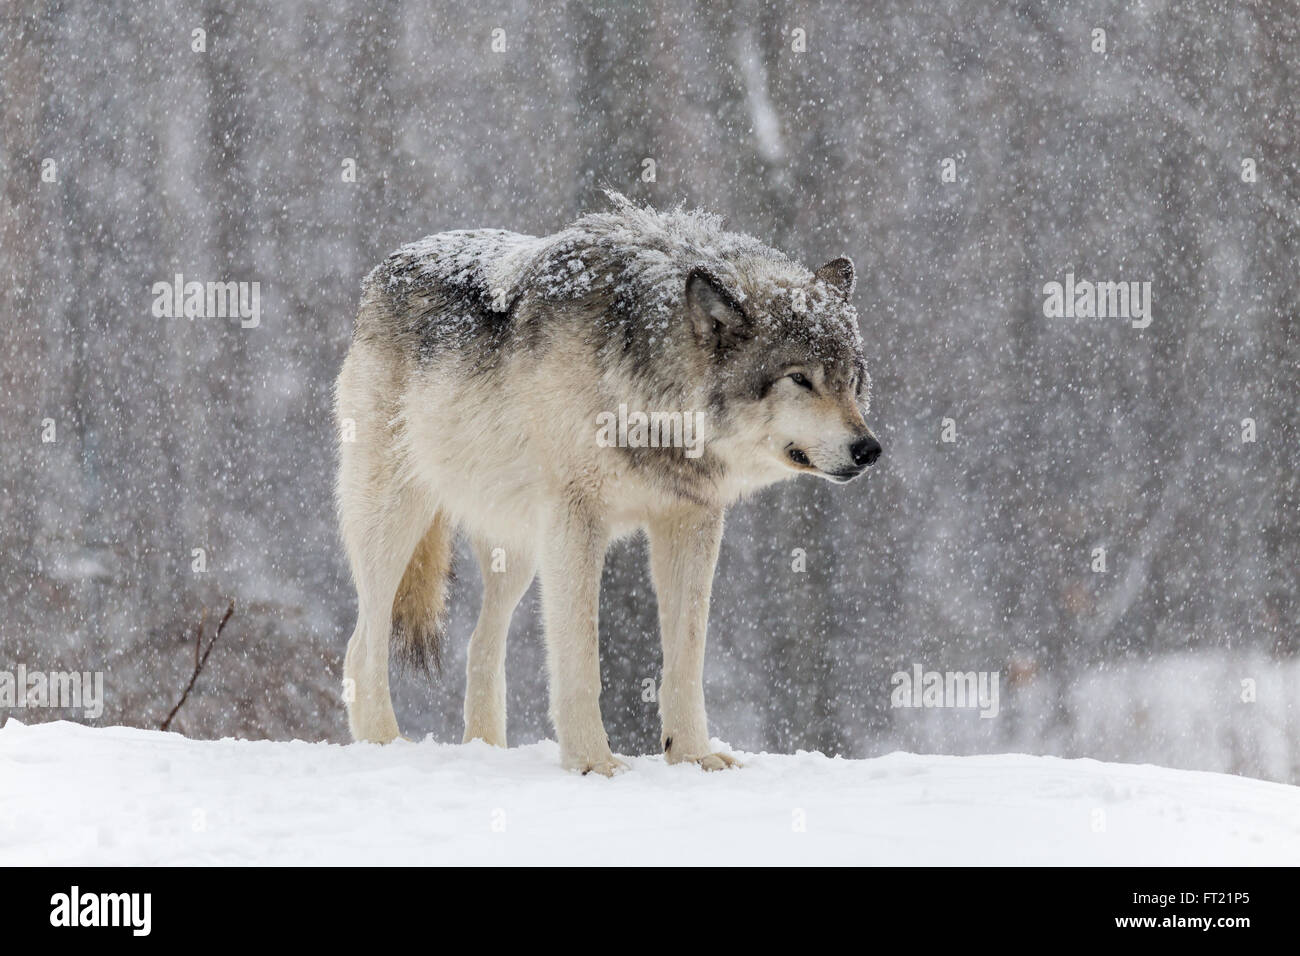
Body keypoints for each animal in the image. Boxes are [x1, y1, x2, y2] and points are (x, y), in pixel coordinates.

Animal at [336, 192, 881, 774]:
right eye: (799, 379)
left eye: (851, 380)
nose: (870, 450)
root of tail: (387, 267)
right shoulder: (576, 522)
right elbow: (581, 659)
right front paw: (592, 762)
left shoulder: (691, 520)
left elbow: (686, 658)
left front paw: (693, 754)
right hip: (396, 523)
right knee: (362, 642)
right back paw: (384, 744)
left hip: (518, 553)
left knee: (480, 647)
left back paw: (485, 750)